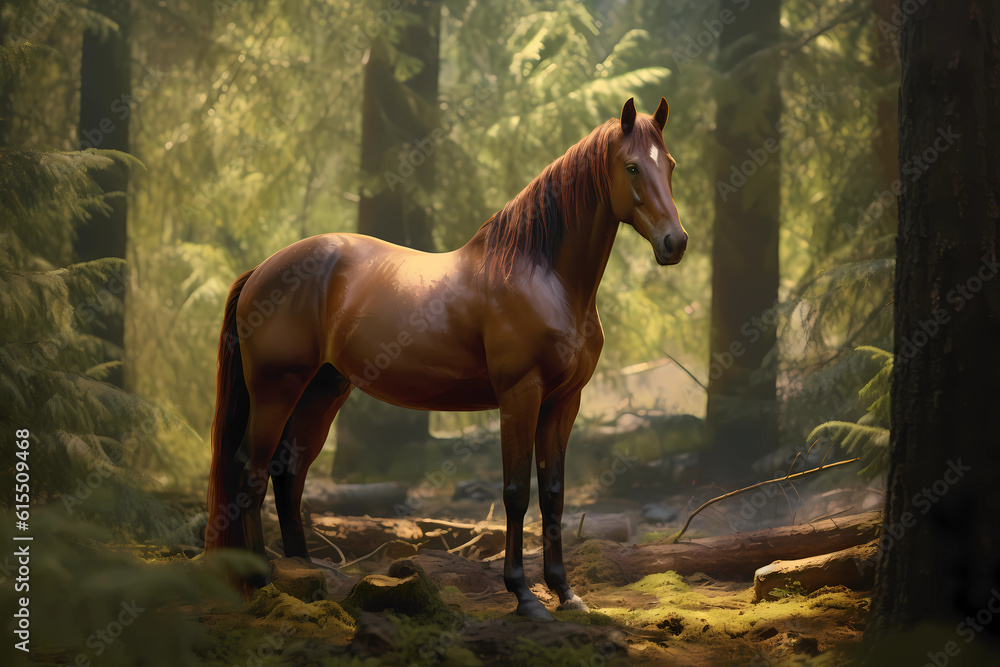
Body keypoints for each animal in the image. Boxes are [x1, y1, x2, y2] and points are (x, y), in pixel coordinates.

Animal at [205, 96, 687, 621]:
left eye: (670, 165)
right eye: (632, 166)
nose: (675, 243)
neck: (543, 277)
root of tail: (261, 270)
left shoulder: (564, 402)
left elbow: (553, 494)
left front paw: (564, 592)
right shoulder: (520, 396)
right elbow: (516, 493)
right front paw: (523, 596)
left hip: (323, 389)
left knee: (289, 469)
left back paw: (307, 574)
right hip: (277, 389)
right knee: (250, 470)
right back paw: (262, 581)